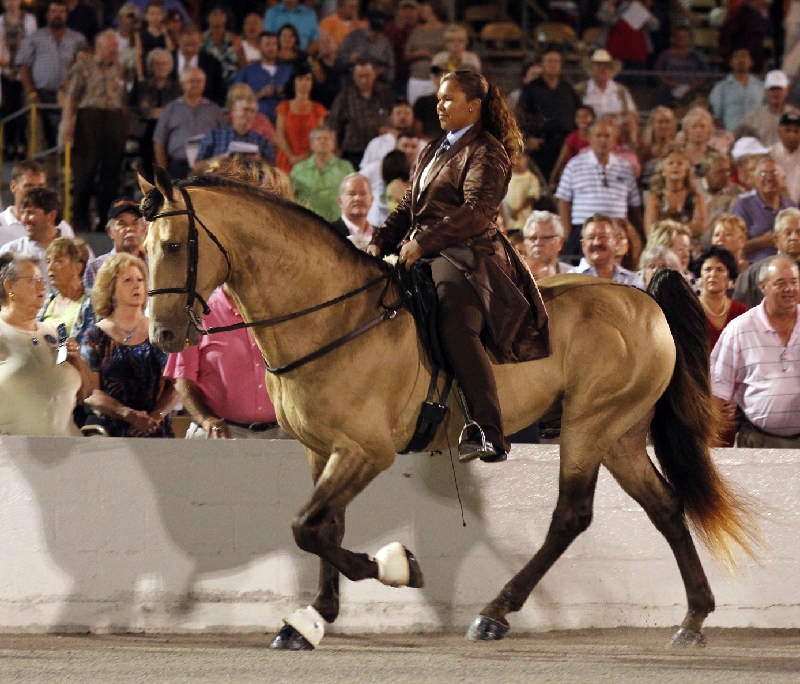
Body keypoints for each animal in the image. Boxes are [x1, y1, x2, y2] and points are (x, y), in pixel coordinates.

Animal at [139, 169, 755, 650]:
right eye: (142, 250)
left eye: (172, 246)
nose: (164, 335)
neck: (335, 317)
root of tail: (643, 300)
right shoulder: (322, 451)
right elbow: (322, 525)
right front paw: (313, 618)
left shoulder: (366, 451)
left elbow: (308, 527)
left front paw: (395, 568)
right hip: (620, 434)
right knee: (665, 508)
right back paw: (694, 616)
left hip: (589, 424)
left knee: (572, 515)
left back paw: (496, 612)